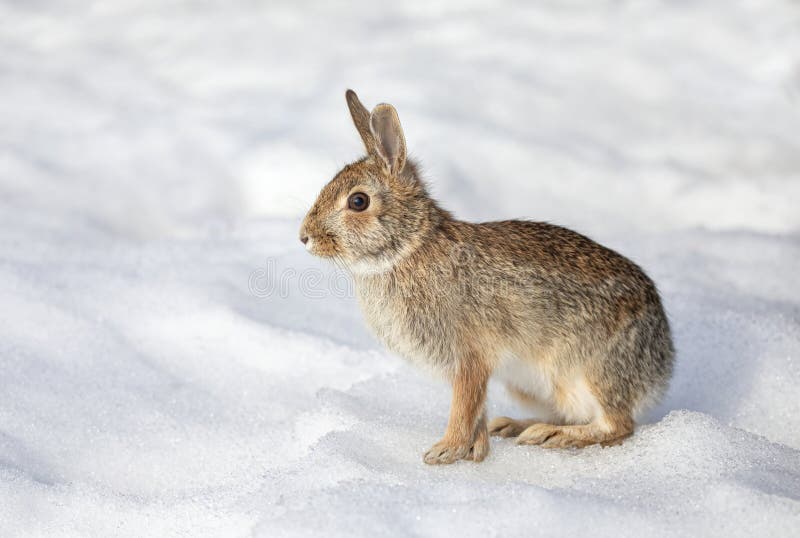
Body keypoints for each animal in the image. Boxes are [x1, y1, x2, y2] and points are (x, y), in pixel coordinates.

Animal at [299, 90, 674, 464]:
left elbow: (464, 405)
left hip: (589, 372)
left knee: (618, 425)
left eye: (358, 201)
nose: (305, 237)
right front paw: (475, 450)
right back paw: (516, 426)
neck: (409, 247)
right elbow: (475, 409)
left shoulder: (470, 355)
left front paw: (444, 451)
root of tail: (661, 362)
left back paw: (552, 436)